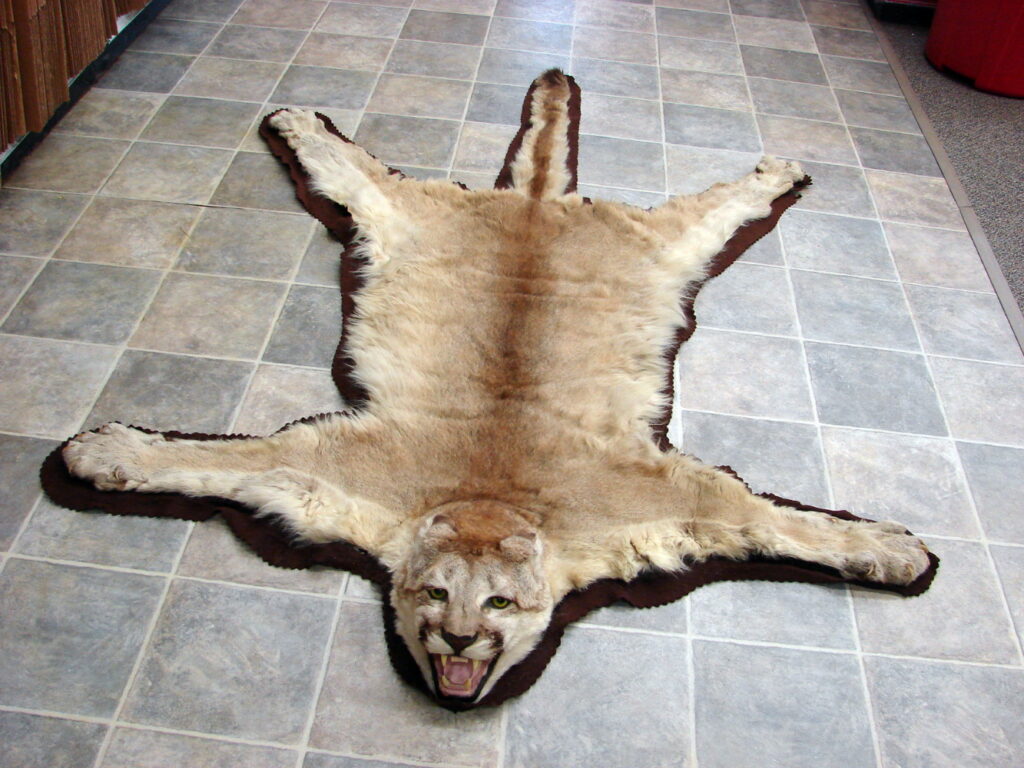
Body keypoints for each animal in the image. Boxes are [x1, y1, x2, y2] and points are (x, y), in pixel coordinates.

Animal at [60, 70, 932, 706]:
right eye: (436, 594)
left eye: (498, 606)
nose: (457, 640)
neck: (491, 494)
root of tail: (535, 203)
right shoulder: (323, 479)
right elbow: (216, 462)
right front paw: (104, 451)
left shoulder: (672, 502)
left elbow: (783, 523)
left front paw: (890, 550)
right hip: (410, 215)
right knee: (357, 173)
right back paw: (301, 122)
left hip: (655, 242)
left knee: (712, 207)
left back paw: (776, 170)